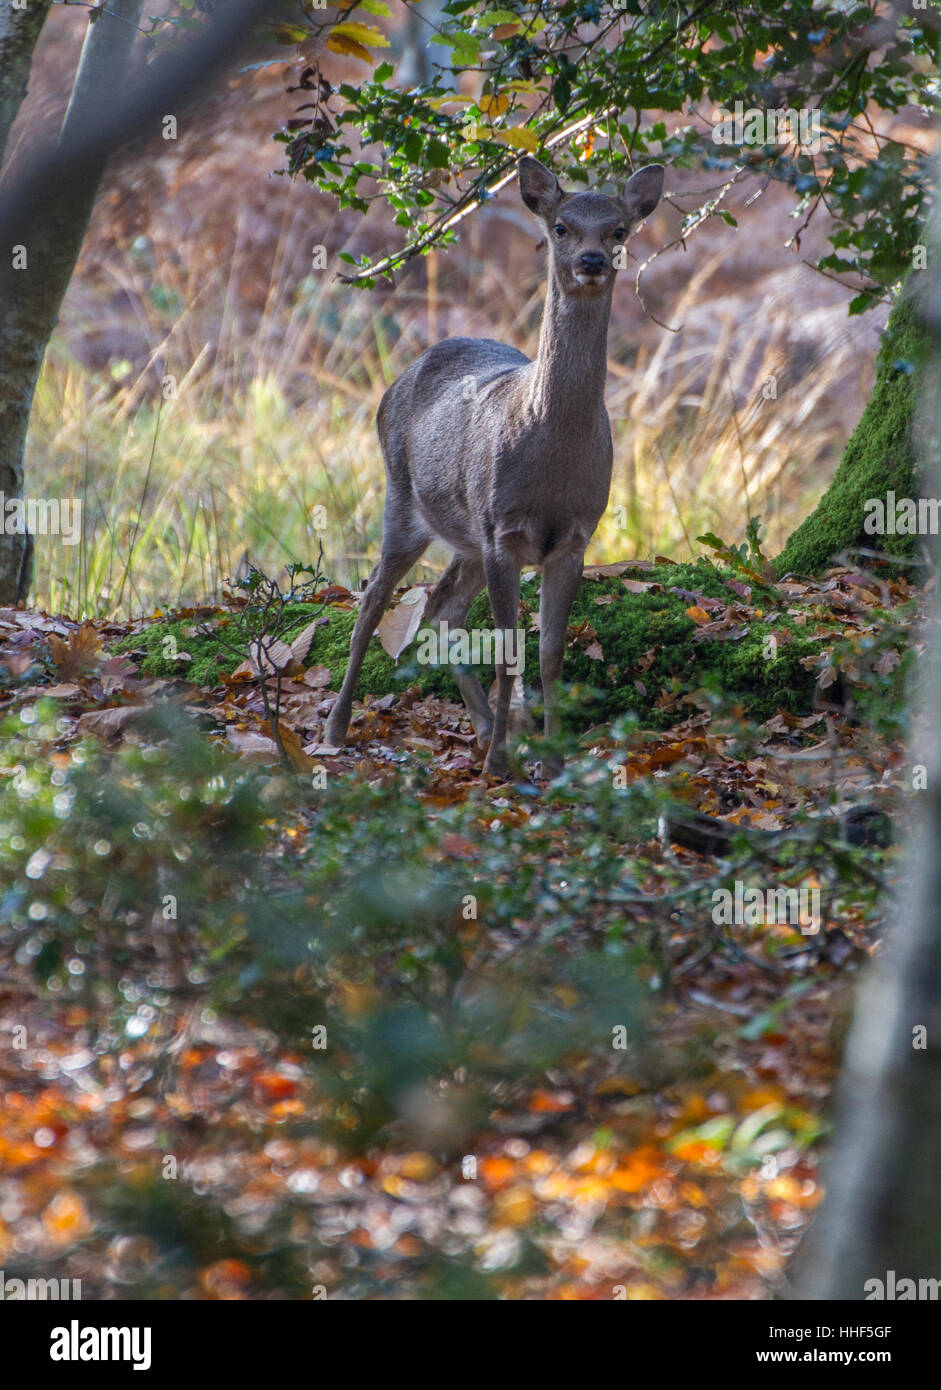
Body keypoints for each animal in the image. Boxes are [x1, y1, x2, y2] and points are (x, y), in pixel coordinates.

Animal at [323, 155, 665, 777]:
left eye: (619, 230)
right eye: (561, 226)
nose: (591, 261)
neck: (552, 451)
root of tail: (394, 383)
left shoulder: (573, 537)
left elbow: (550, 653)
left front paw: (550, 761)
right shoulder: (502, 533)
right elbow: (509, 652)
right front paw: (500, 766)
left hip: (465, 533)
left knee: (441, 608)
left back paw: (484, 725)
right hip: (404, 498)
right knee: (373, 599)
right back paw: (336, 729)